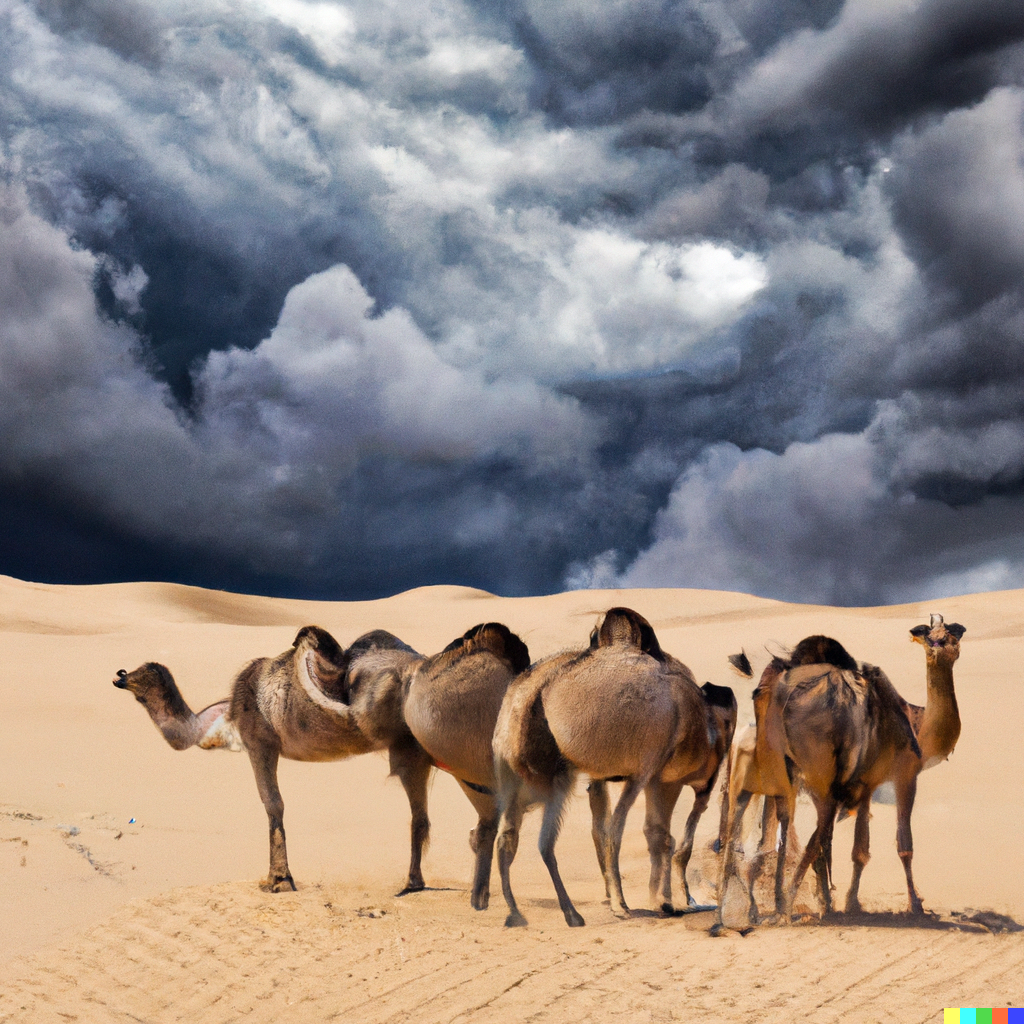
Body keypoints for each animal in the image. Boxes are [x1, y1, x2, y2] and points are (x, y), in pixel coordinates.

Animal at [115, 625, 435, 894]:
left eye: (140, 674)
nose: (120, 675)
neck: (221, 720)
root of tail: (415, 667)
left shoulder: (260, 740)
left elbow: (273, 803)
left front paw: (280, 880)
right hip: (414, 747)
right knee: (420, 814)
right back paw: (414, 883)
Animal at [492, 607, 732, 927]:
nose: (713, 783)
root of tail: (535, 690)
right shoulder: (653, 772)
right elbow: (652, 834)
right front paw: (662, 902)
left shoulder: (604, 777)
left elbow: (606, 829)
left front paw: (644, 899)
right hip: (567, 777)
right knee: (559, 839)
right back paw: (588, 911)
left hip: (519, 773)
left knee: (510, 837)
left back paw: (520, 912)